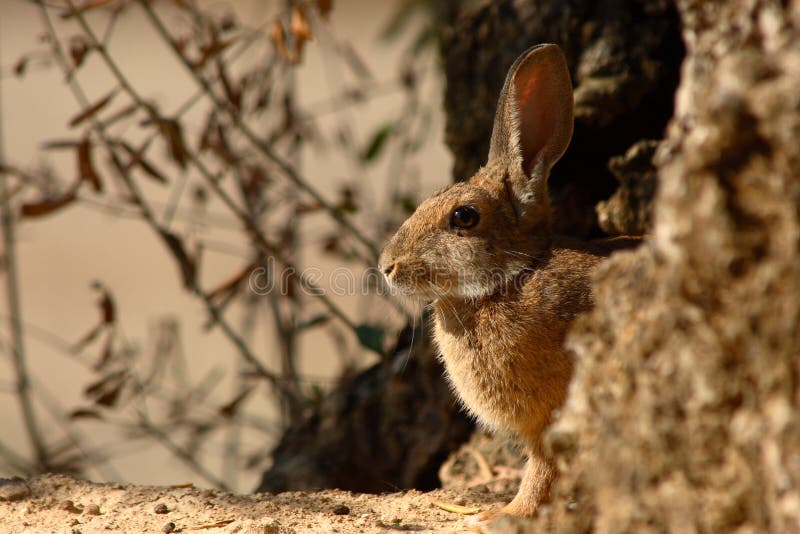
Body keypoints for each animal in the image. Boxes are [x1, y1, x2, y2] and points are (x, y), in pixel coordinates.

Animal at [379, 43, 640, 522]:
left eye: (464, 217)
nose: (387, 265)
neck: (512, 277)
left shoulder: (553, 417)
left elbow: (541, 469)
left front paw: (505, 514)